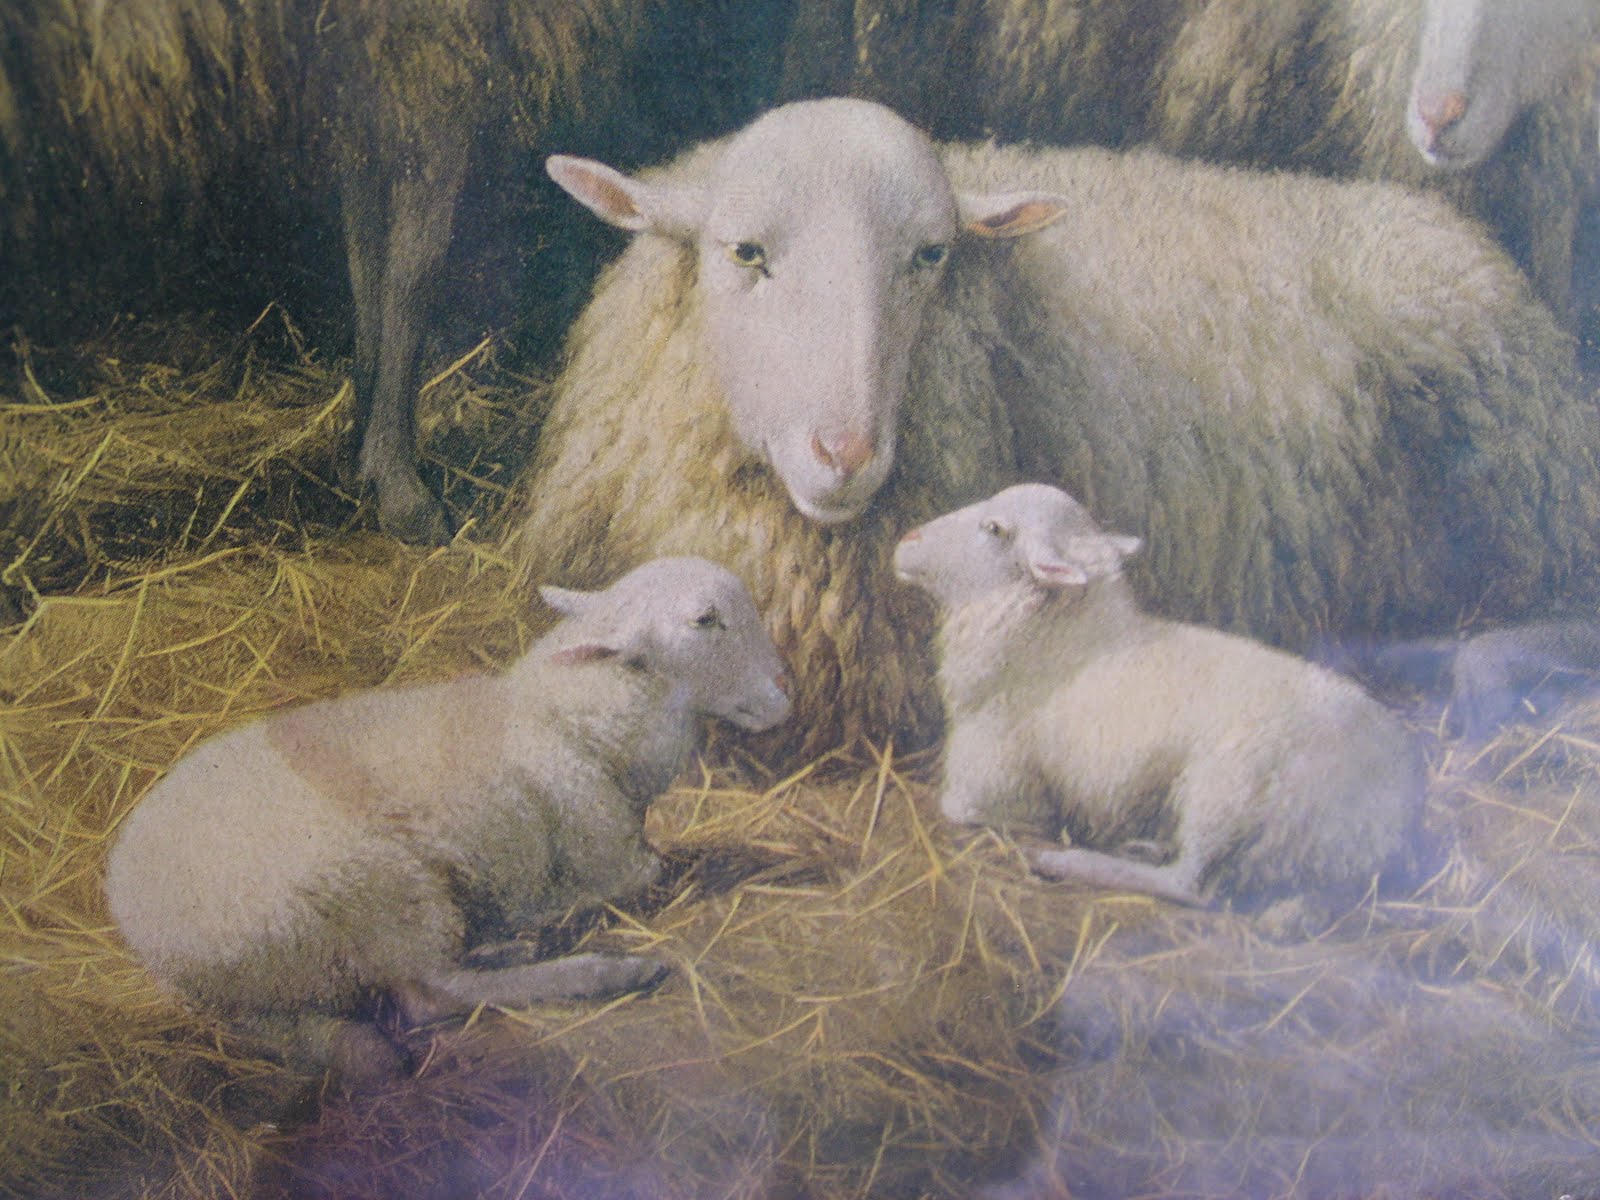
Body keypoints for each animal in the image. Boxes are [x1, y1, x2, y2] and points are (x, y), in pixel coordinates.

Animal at [104, 556, 791, 1080]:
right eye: (706, 620)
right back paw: (599, 968)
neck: (565, 718)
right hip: (375, 889)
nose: (785, 695)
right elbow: (647, 875)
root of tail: (144, 934)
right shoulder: (610, 851)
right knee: (427, 996)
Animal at [893, 483, 1426, 915]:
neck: (1069, 646)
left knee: (1191, 885)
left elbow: (963, 811)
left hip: (1228, 789)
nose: (906, 540)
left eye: (995, 528)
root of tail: (1388, 812)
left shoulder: (988, 780)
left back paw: (1073, 860)